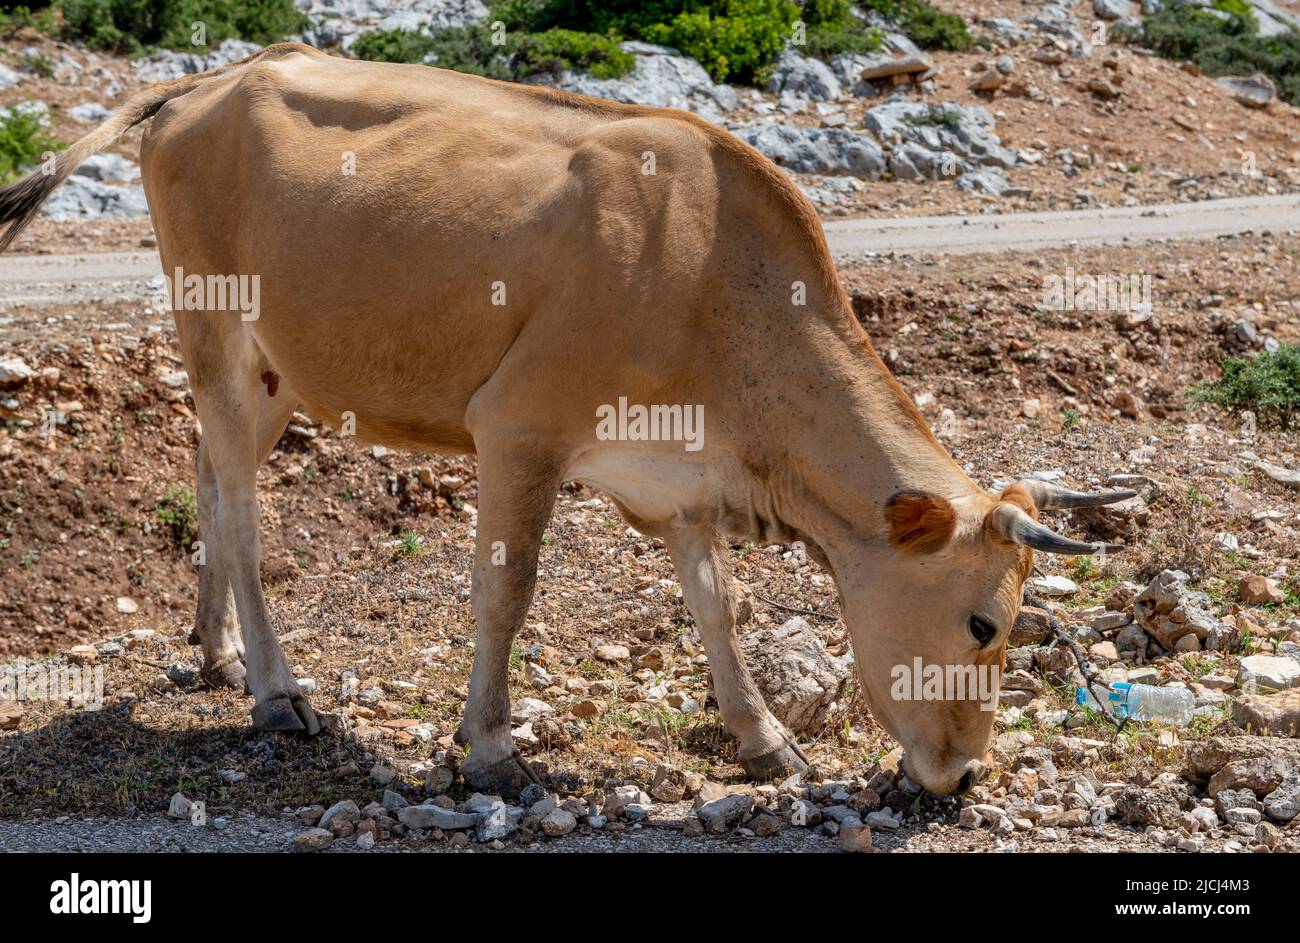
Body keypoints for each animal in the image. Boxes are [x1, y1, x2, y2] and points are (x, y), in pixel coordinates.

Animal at [0, 43, 1134, 796]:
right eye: (983, 623)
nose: (966, 775)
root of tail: (215, 76)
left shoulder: (680, 475)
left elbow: (719, 606)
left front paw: (763, 735)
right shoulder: (520, 426)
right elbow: (506, 591)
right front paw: (493, 748)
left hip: (276, 365)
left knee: (204, 467)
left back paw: (214, 651)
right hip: (215, 327)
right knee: (237, 509)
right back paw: (277, 692)